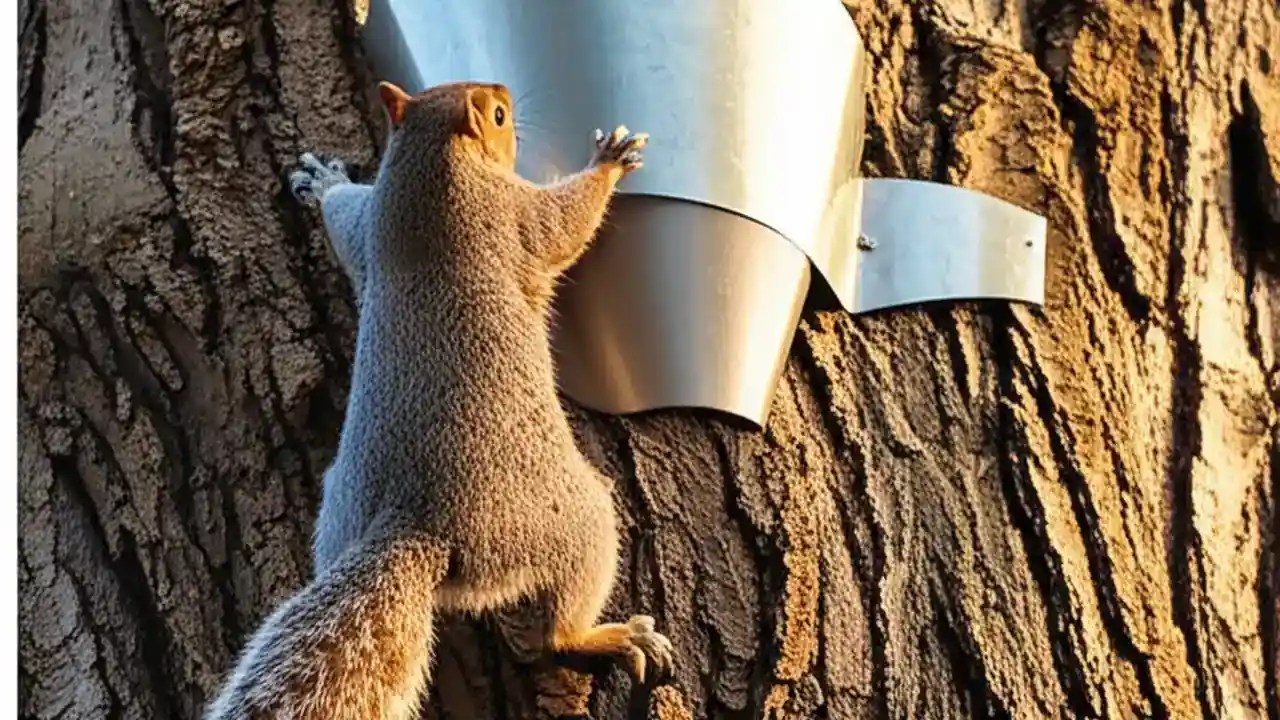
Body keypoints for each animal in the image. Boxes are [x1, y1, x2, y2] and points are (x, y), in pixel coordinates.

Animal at [204, 80, 673, 720]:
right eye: (497, 114)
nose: (504, 92)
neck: (426, 183)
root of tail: (417, 522)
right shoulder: (515, 214)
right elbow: (565, 221)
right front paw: (610, 160)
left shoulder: (369, 226)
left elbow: (343, 214)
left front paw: (320, 181)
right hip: (572, 522)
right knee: (562, 625)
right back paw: (609, 637)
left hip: (339, 512)